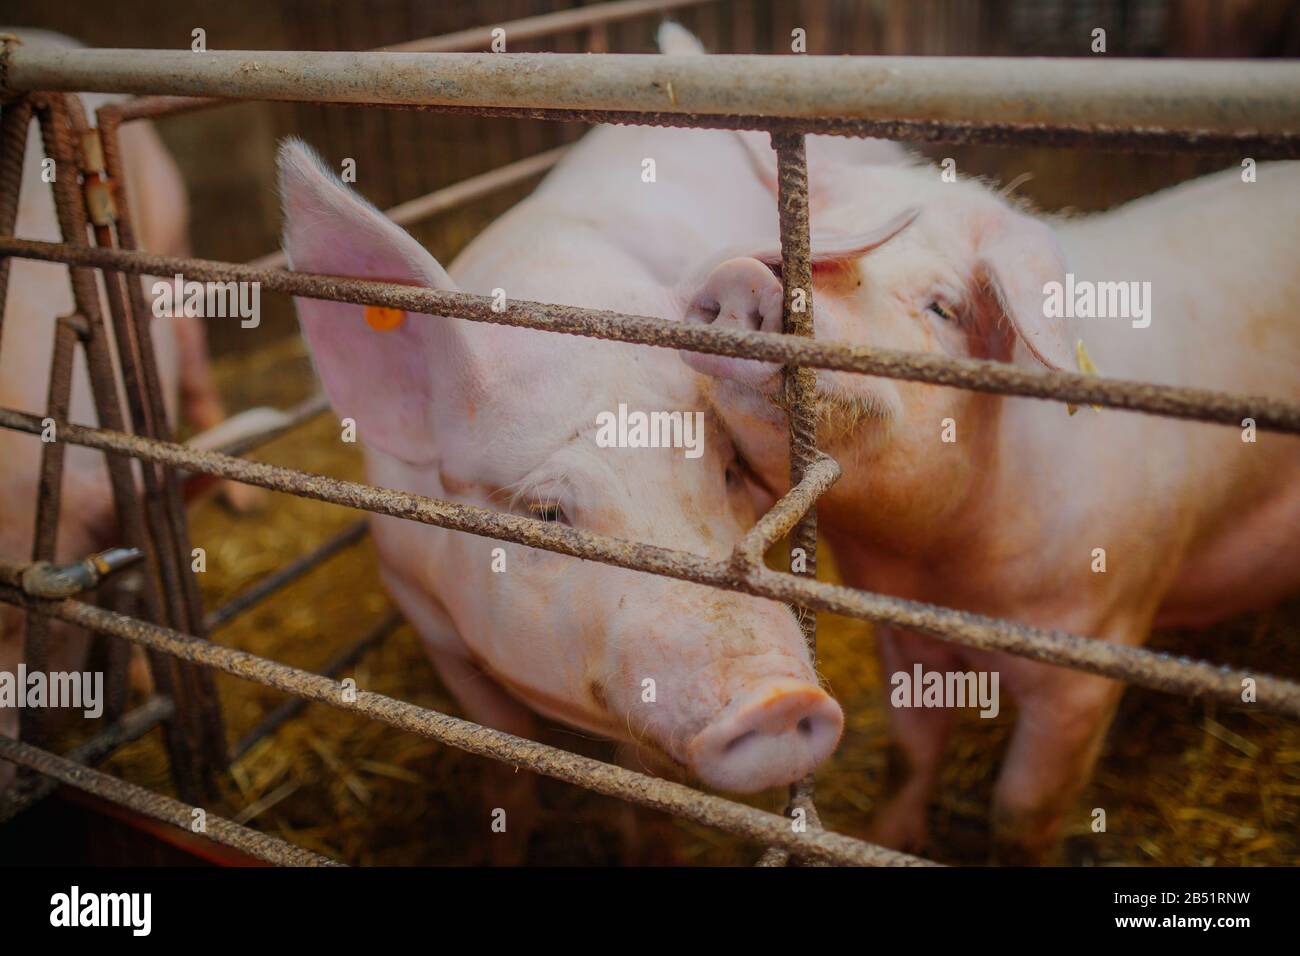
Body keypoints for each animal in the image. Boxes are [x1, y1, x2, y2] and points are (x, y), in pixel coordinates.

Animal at [0, 30, 258, 791]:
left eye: (21, 622)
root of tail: (48, 39)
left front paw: (144, 686)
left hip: (170, 227)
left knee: (193, 355)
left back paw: (245, 502)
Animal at [676, 155, 1300, 862]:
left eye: (943, 307)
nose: (743, 273)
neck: (942, 569)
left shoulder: (1092, 658)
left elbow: (1021, 812)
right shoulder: (901, 630)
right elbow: (909, 756)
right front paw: (885, 840)